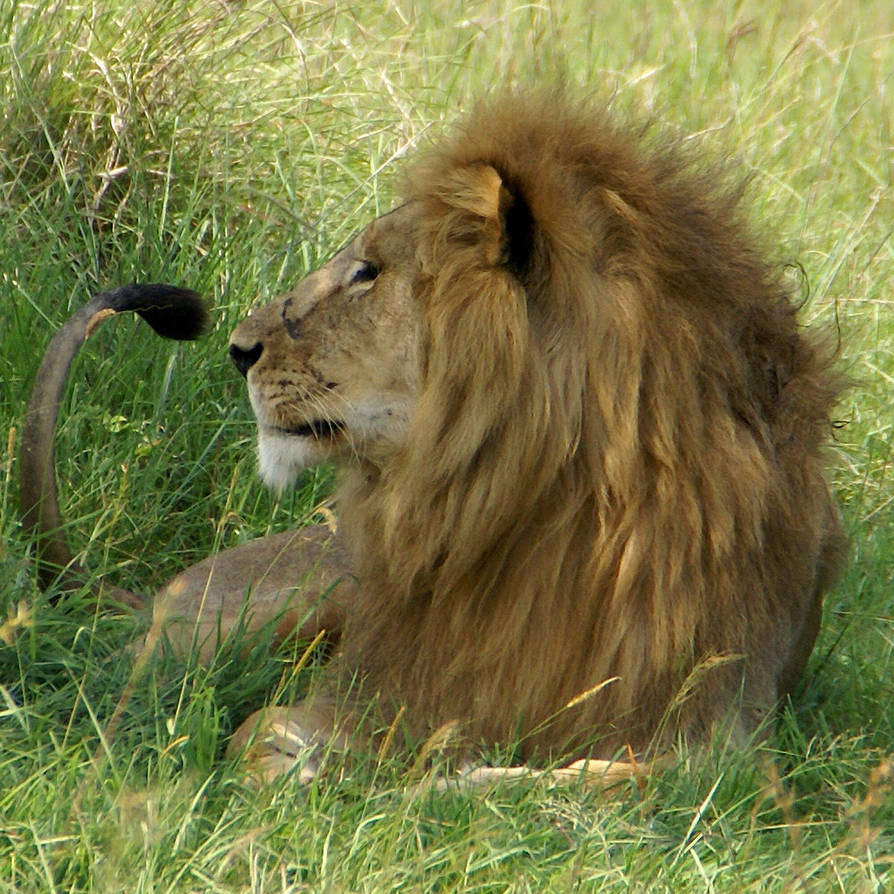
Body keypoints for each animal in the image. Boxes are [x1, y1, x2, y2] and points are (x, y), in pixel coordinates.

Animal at [22, 93, 848, 792]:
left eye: (365, 273)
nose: (238, 349)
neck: (552, 505)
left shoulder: (724, 740)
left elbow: (575, 784)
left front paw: (431, 781)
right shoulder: (368, 681)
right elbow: (271, 731)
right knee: (117, 675)